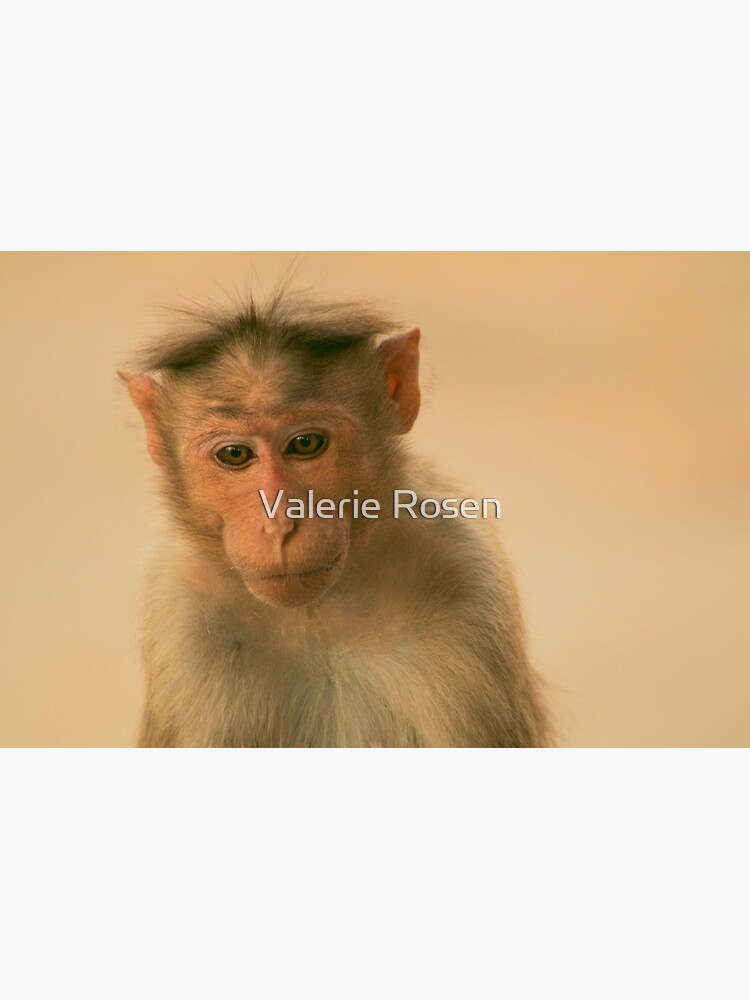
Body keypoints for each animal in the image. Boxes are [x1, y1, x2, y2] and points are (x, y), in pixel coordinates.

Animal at [120, 291, 550, 747]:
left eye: (306, 444)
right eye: (235, 454)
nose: (278, 525)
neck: (318, 614)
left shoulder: (466, 578)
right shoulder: (178, 610)